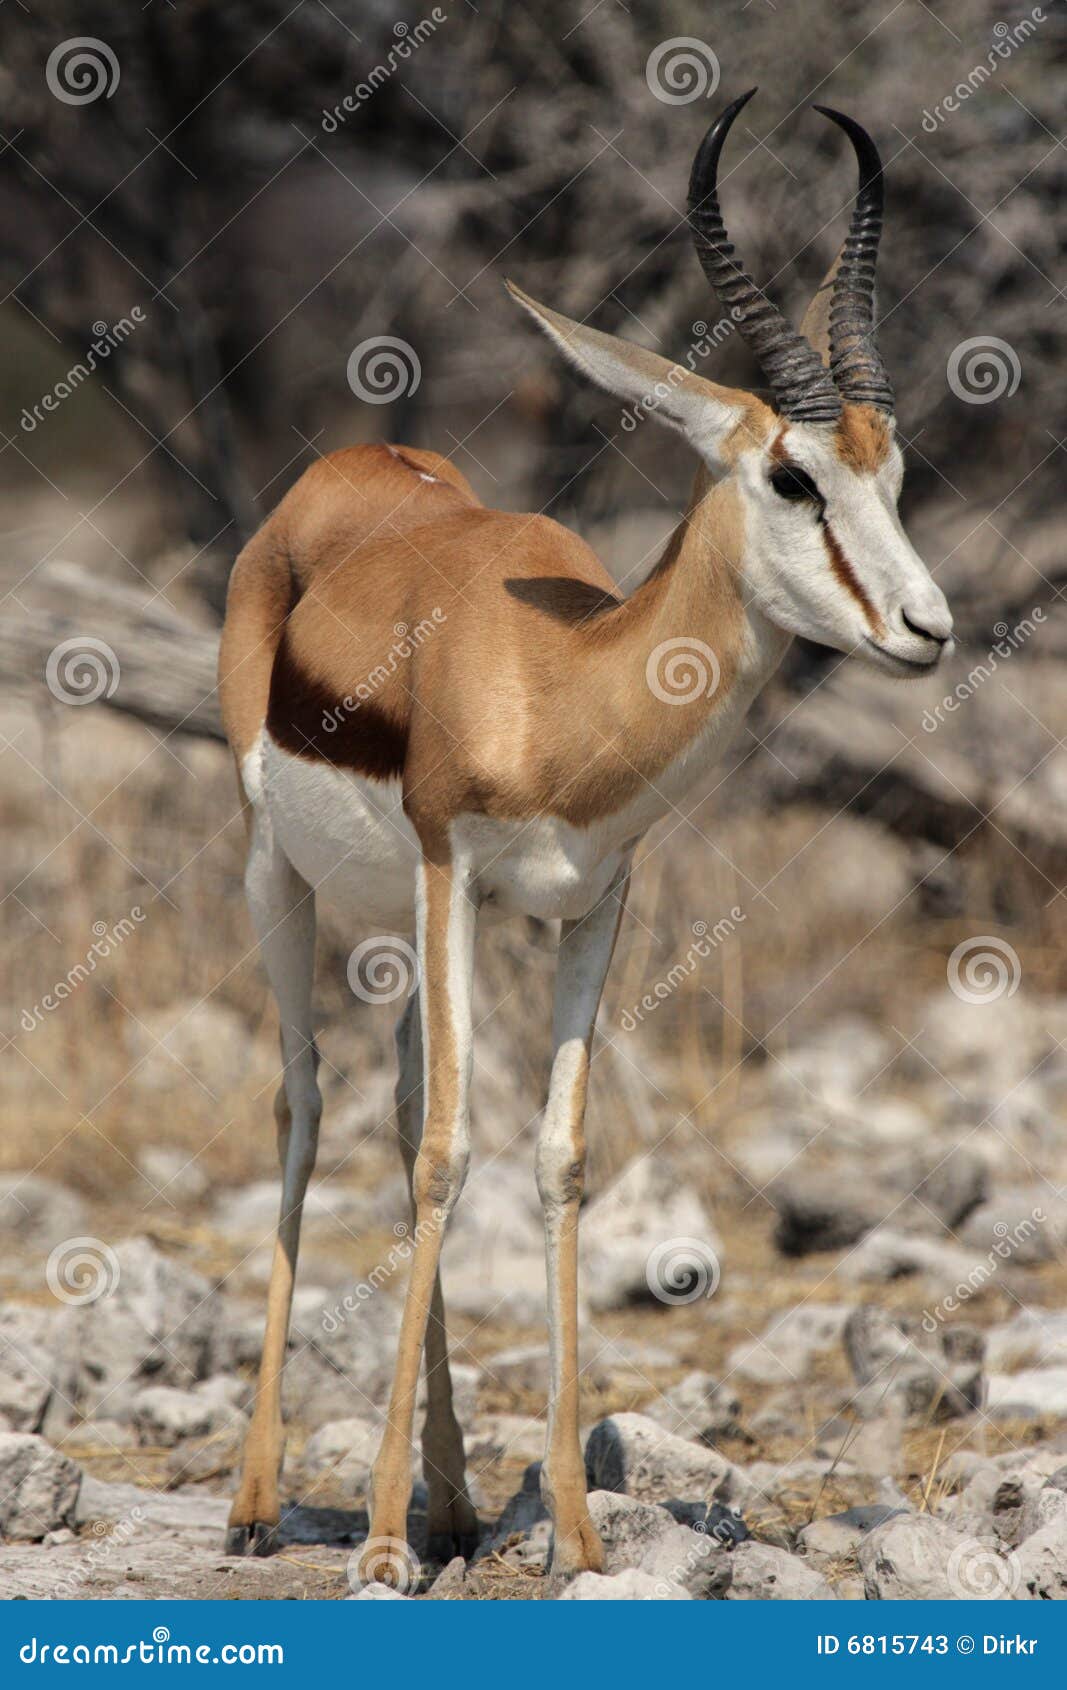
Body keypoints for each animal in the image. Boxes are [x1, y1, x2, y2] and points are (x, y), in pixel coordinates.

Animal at [218, 90, 953, 1582]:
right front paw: (375, 1545)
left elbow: (552, 1155)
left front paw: (568, 1530)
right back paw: (266, 1501)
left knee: (397, 1105)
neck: (558, 684)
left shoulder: (587, 904)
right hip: (283, 875)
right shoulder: (450, 866)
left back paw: (449, 1501)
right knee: (306, 1101)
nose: (926, 628)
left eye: (891, 470)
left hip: (402, 920)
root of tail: (351, 467)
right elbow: (449, 1150)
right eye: (791, 478)